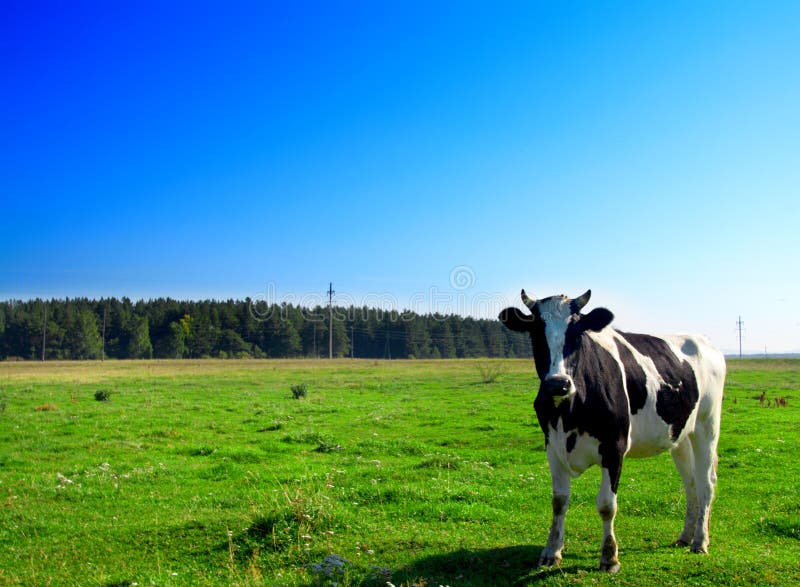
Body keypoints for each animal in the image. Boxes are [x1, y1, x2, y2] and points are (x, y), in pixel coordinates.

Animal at [499, 289, 725, 573]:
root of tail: (704, 340)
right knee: (690, 481)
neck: (570, 411)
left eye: (577, 334)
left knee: (706, 481)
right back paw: (685, 536)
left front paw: (609, 557)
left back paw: (700, 541)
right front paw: (551, 551)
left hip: (707, 424)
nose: (557, 384)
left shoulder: (614, 446)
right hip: (680, 434)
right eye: (536, 332)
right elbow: (559, 501)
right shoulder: (552, 445)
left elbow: (607, 505)